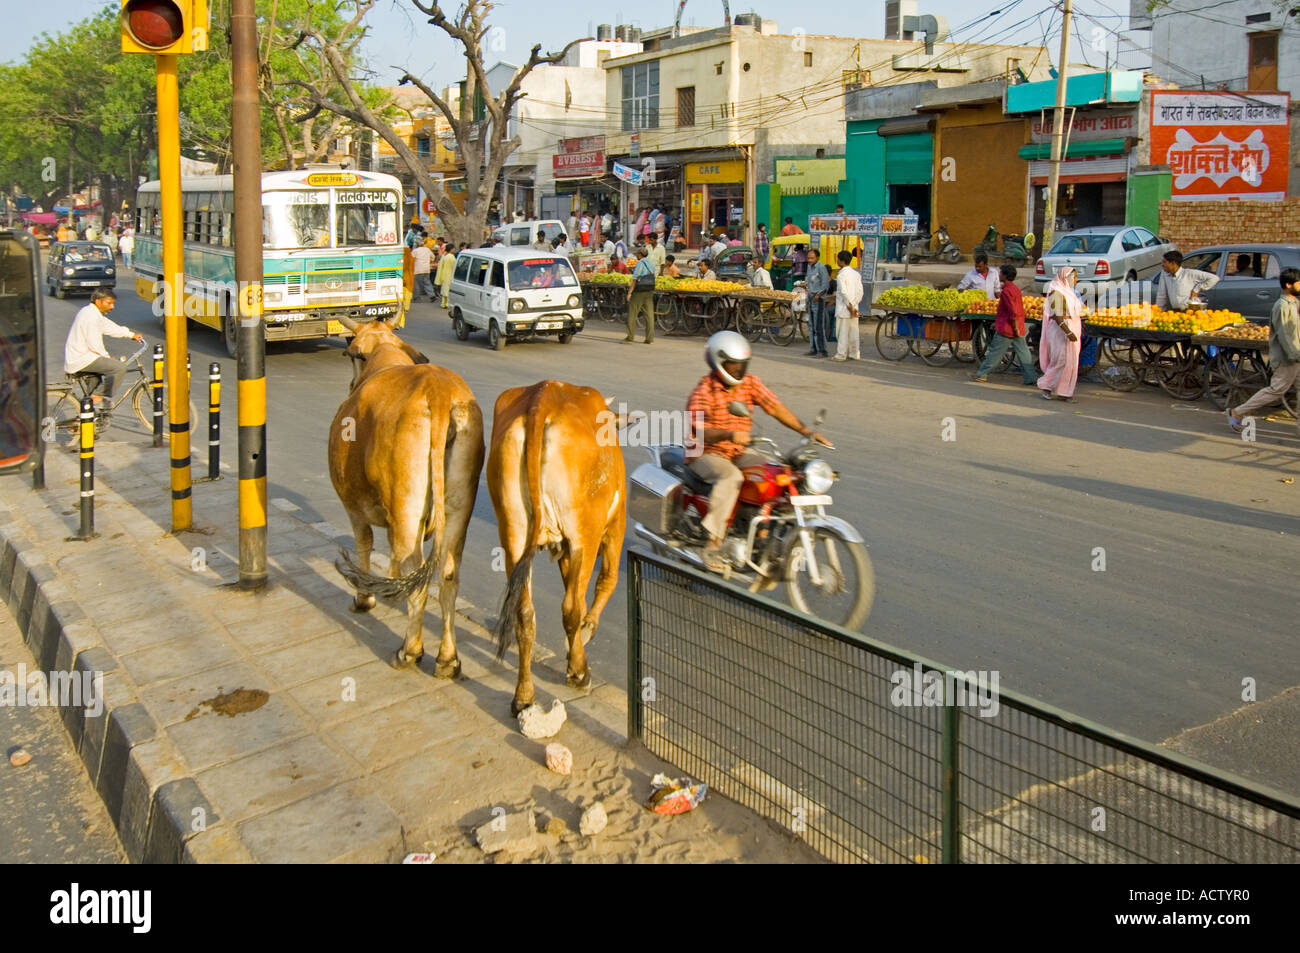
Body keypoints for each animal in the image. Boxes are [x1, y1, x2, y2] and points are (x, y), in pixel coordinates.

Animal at [328, 320, 485, 678]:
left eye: (352, 354)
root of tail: (439, 394)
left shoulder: (352, 505)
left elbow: (365, 545)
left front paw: (365, 598)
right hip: (458, 508)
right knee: (447, 573)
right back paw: (448, 659)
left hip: (406, 508)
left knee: (416, 568)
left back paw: (409, 651)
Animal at [489, 381, 626, 715]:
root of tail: (544, 397)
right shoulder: (613, 527)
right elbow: (607, 581)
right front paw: (586, 633)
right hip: (584, 535)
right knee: (570, 608)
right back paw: (579, 672)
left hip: (513, 534)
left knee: (525, 613)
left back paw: (523, 696)